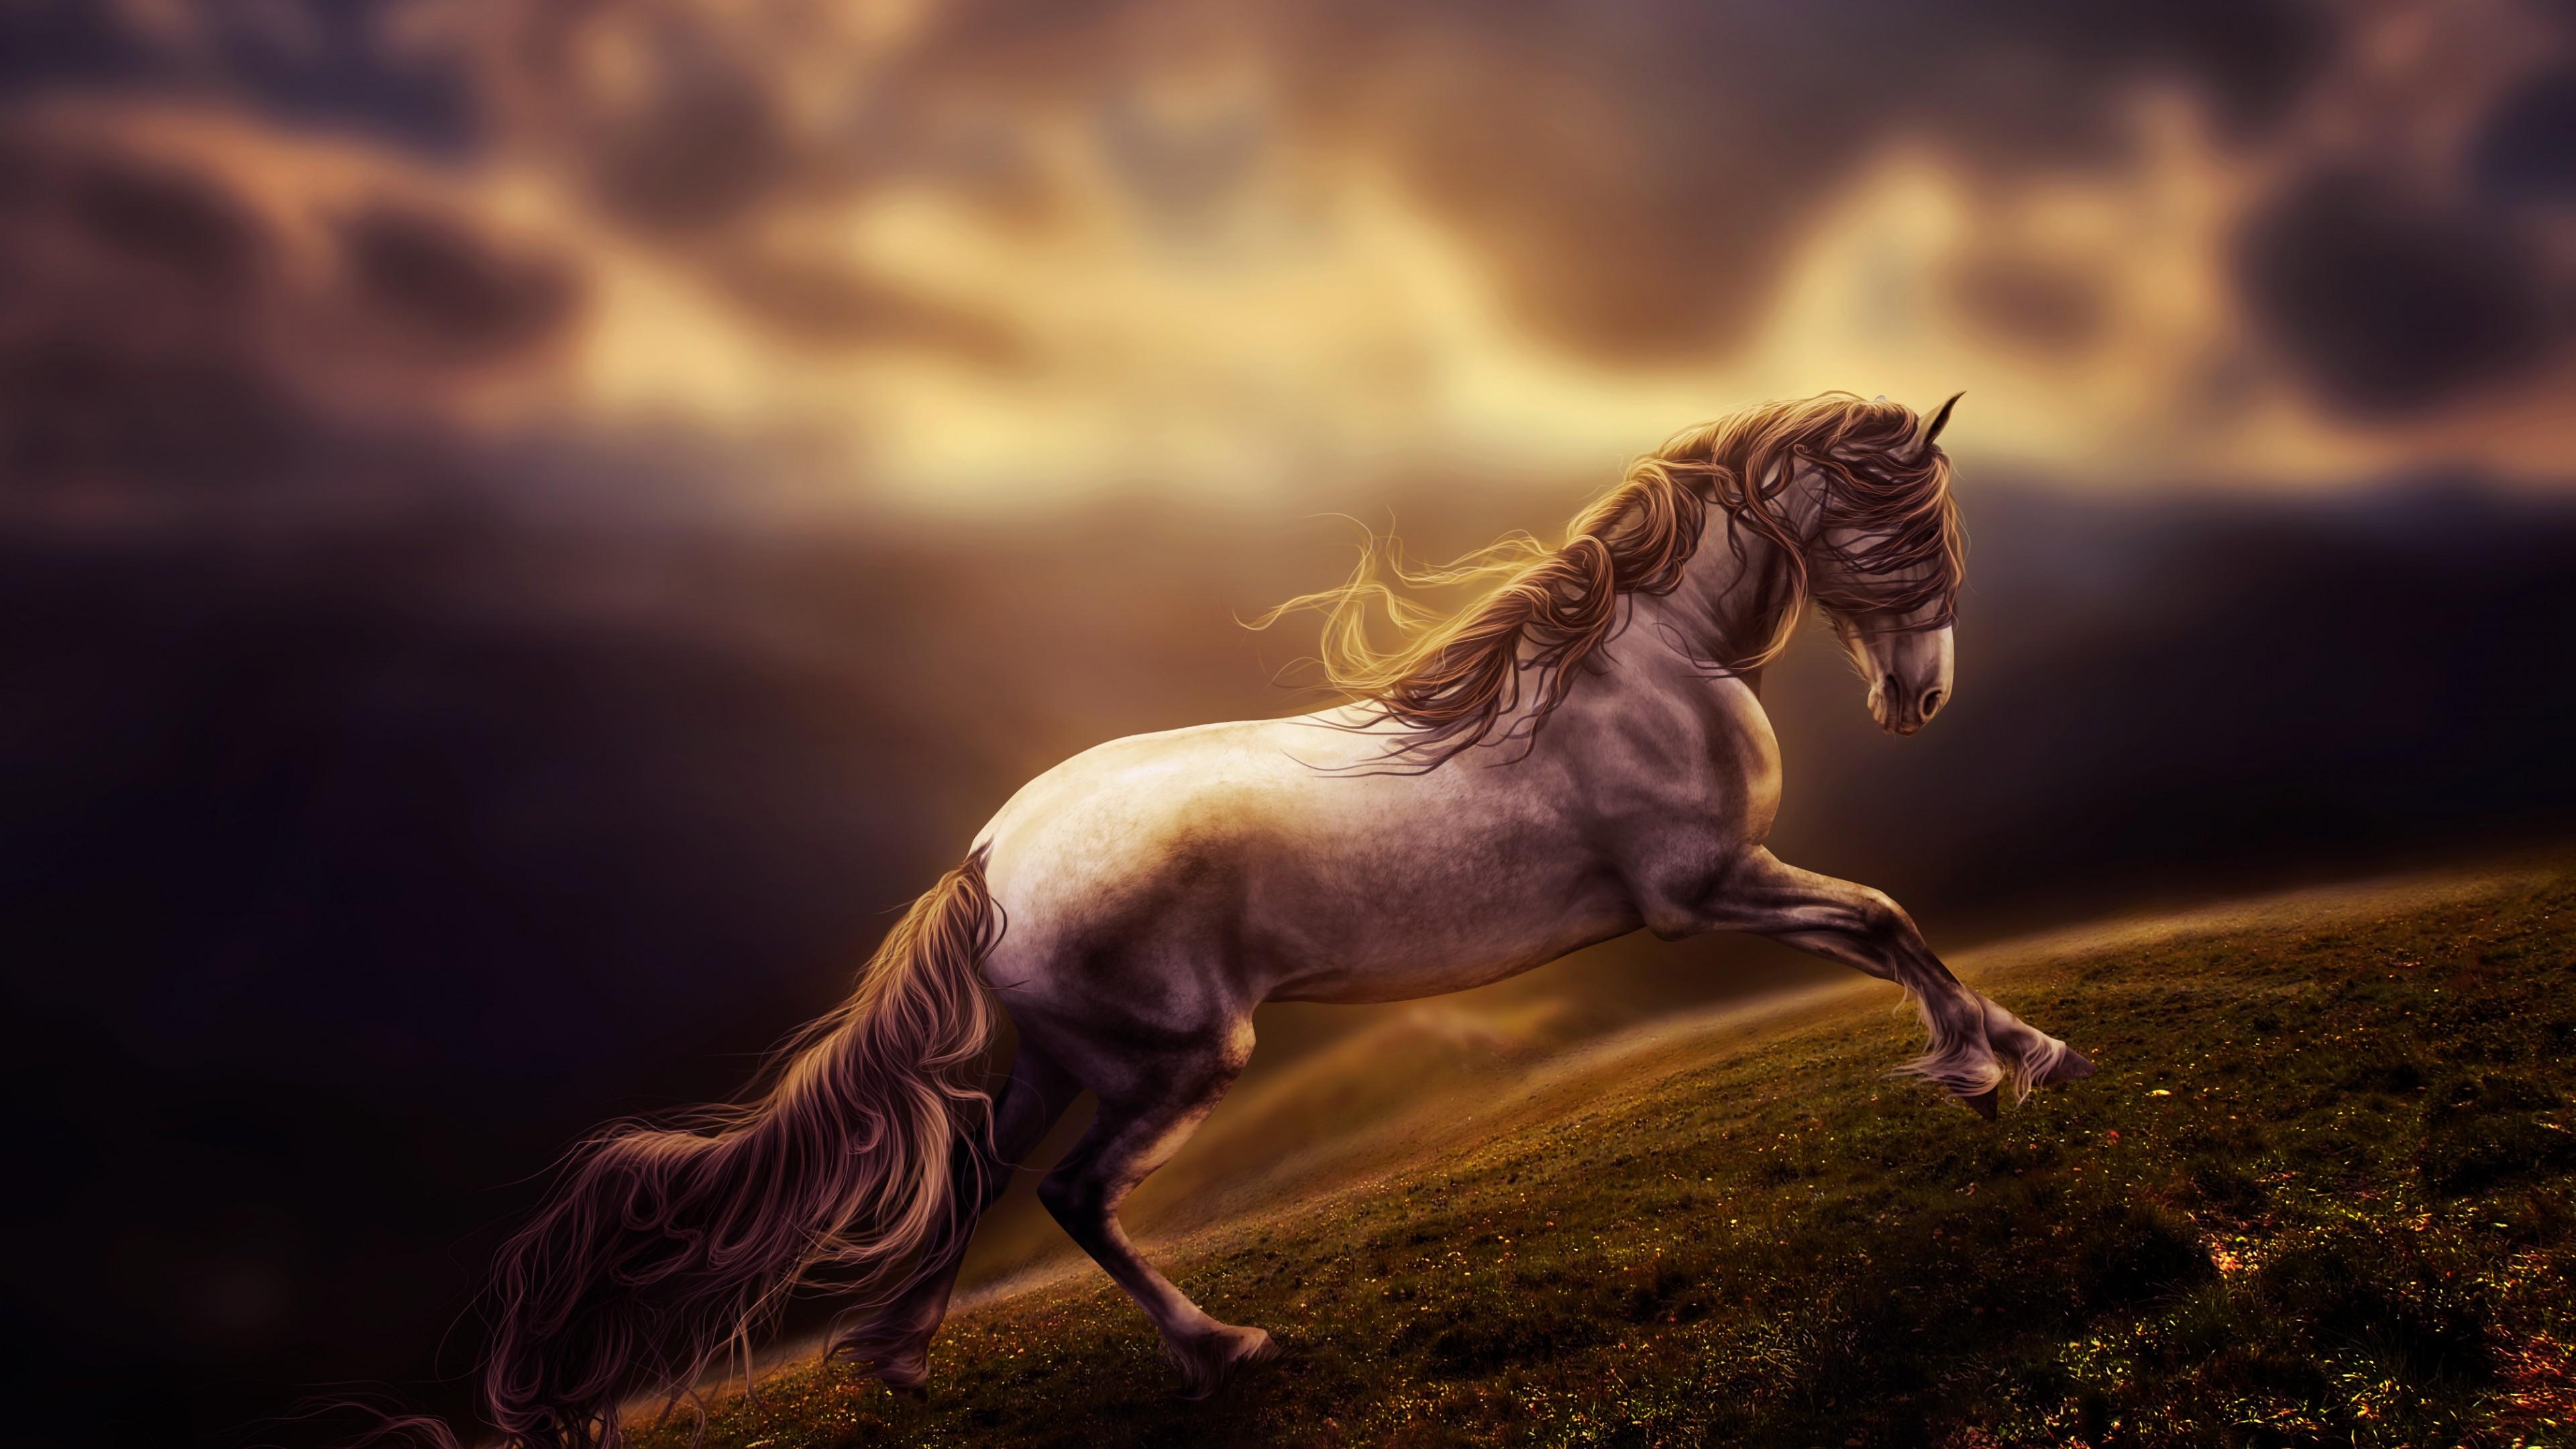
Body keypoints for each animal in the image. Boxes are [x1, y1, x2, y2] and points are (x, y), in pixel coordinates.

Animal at [468, 391, 2094, 1446]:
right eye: (1903, 530)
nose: (1920, 696)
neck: (1644, 663)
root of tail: (992, 856)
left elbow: (1890, 925)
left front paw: (2029, 1051)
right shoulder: (1704, 893)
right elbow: (1885, 920)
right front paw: (1988, 1065)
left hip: (1062, 1058)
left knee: (978, 1172)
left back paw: (904, 1362)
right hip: (1178, 1063)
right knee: (1073, 1198)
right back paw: (1219, 1349)